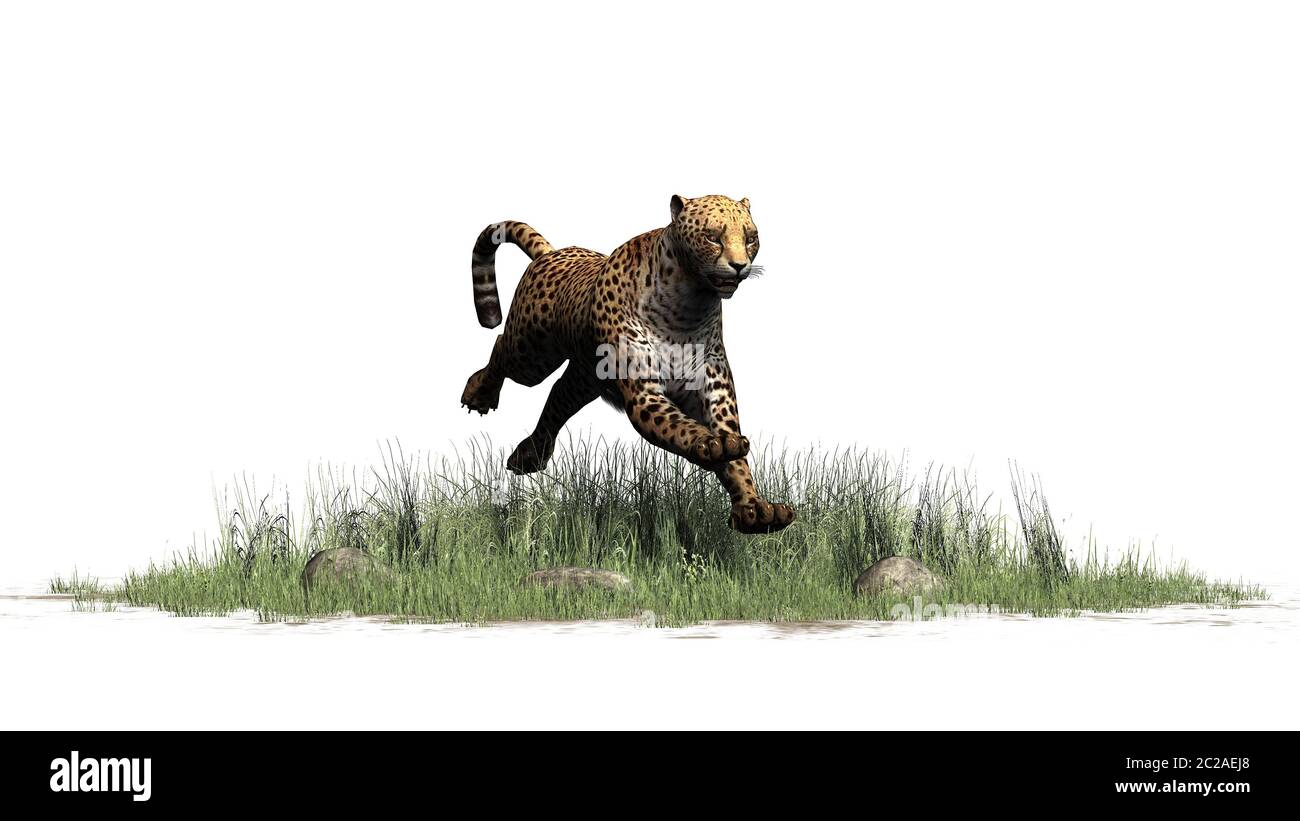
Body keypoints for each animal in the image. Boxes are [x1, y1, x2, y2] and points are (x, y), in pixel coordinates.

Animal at [461, 194, 795, 534]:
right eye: (713, 237)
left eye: (750, 238)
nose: (739, 266)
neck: (690, 305)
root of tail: (553, 252)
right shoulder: (644, 392)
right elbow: (681, 426)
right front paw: (711, 443)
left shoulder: (715, 389)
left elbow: (735, 455)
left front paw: (755, 509)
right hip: (531, 355)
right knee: (502, 345)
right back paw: (479, 394)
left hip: (585, 378)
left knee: (558, 396)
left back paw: (529, 456)